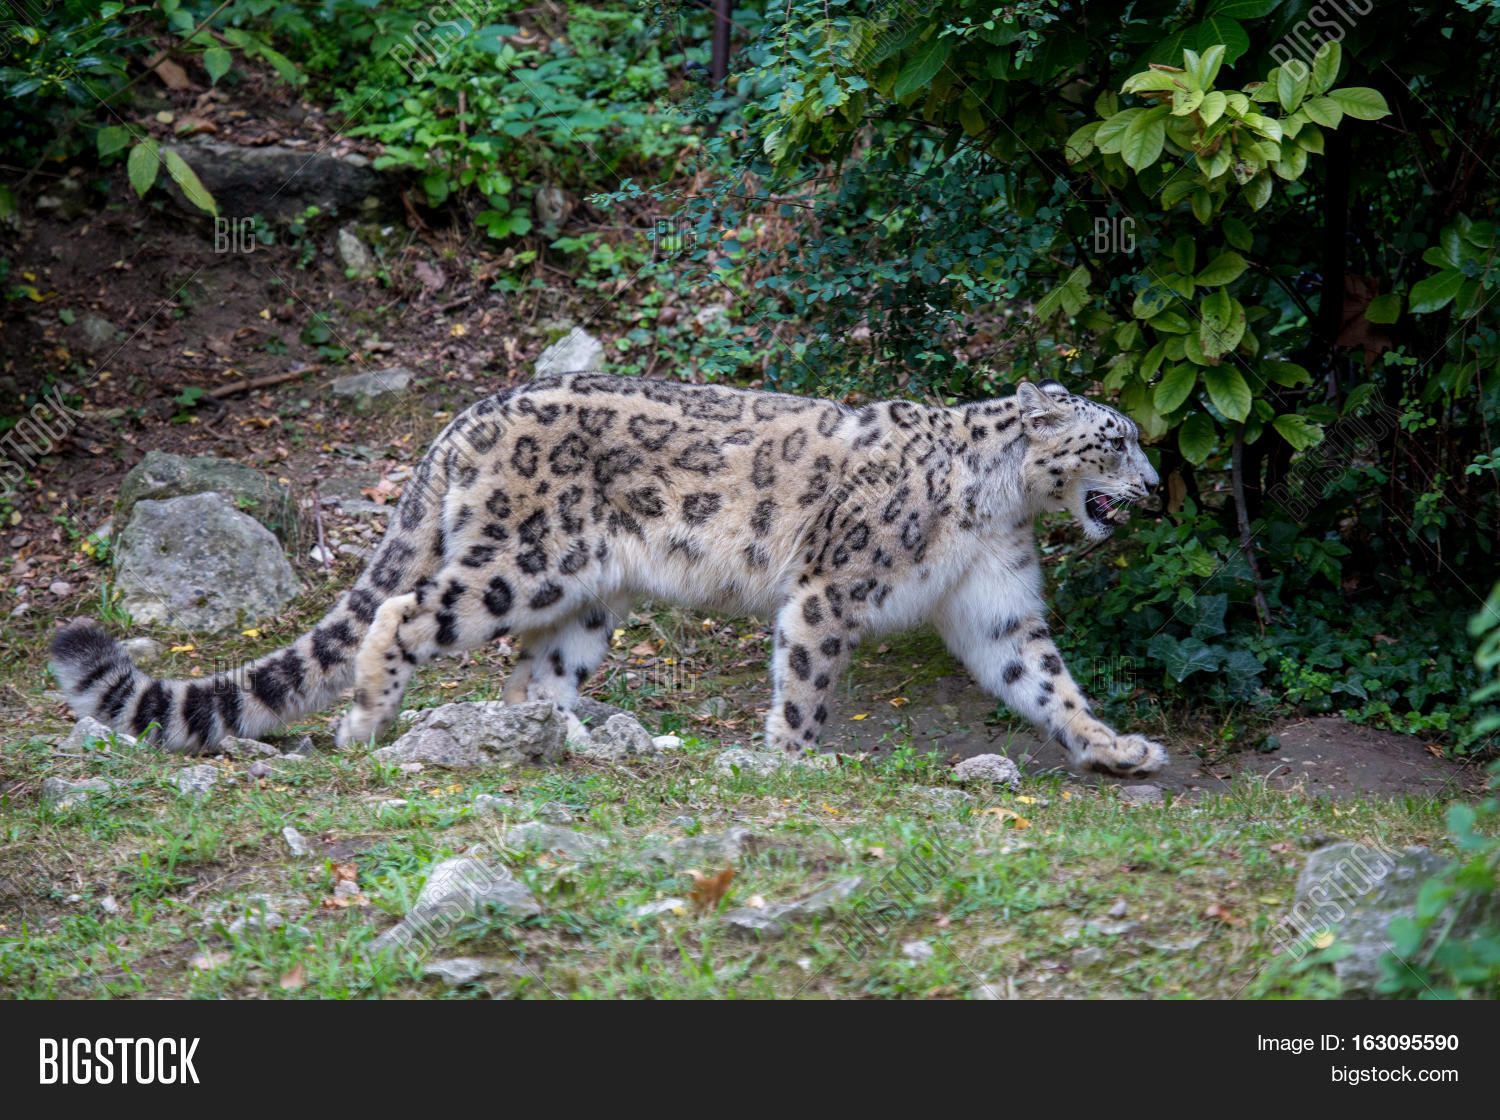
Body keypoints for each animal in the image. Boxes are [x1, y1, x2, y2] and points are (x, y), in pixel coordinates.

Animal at [50, 373, 1167, 778]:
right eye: (1116, 438)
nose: (1158, 488)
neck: (999, 508)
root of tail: (474, 412)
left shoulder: (999, 607)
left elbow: (1046, 682)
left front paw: (1116, 747)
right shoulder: (832, 586)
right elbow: (807, 679)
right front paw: (792, 760)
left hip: (582, 600)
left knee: (529, 680)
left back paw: (570, 739)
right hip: (521, 563)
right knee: (407, 609)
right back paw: (369, 721)